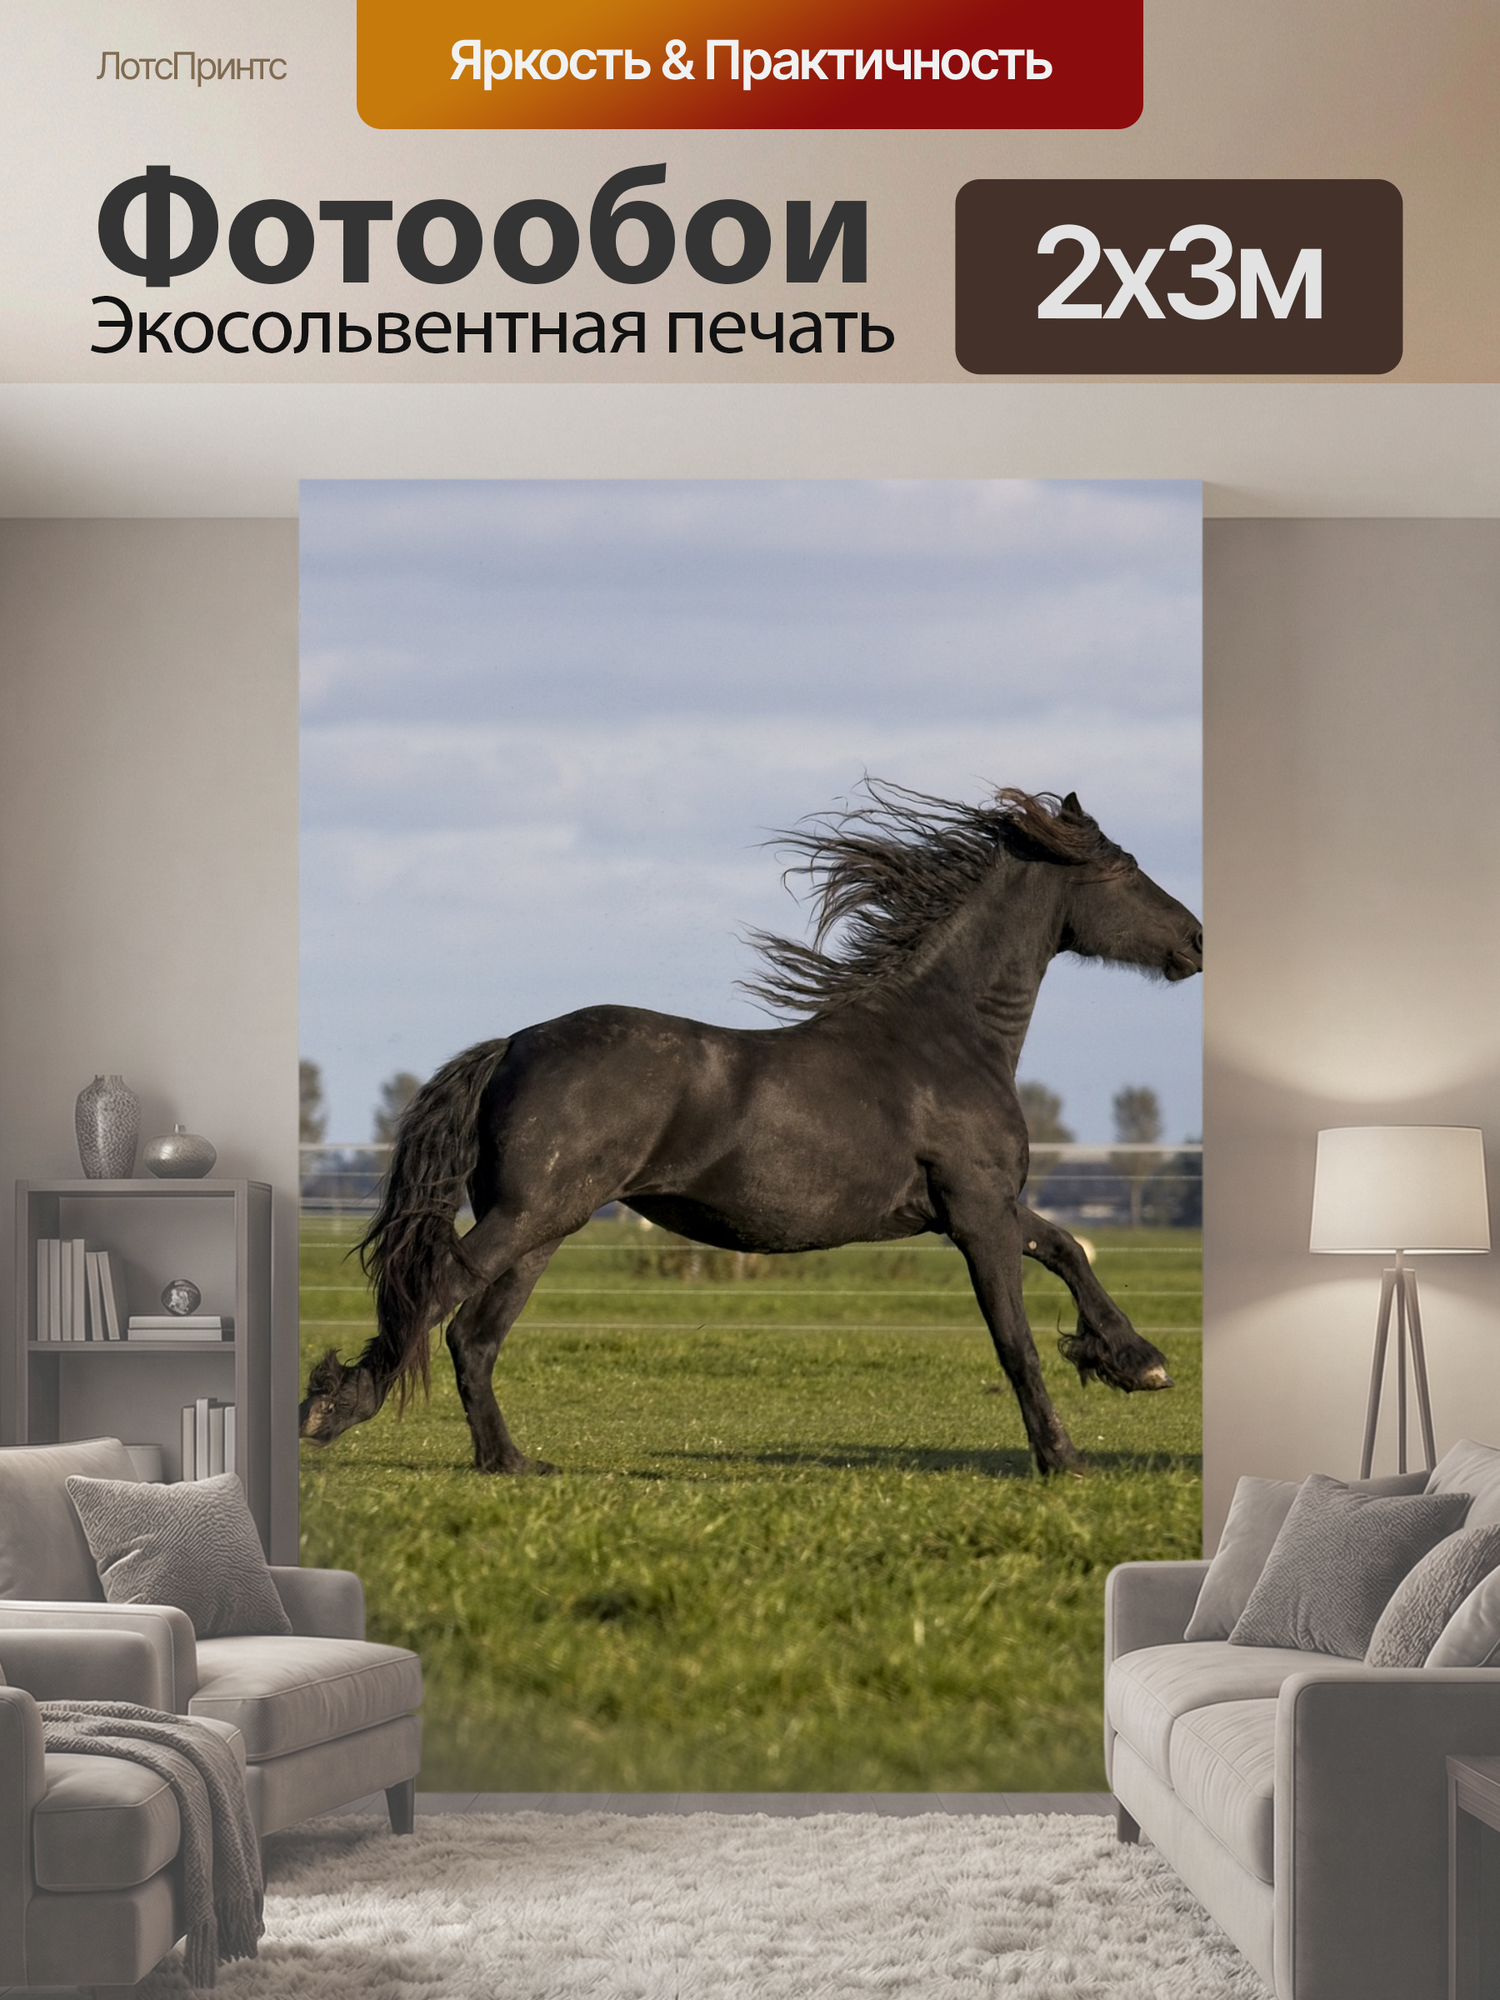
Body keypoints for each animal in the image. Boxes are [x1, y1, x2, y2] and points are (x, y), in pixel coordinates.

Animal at [299, 784, 1202, 1478]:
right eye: (1122, 868)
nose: (1195, 939)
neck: (945, 1038)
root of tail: (513, 1045)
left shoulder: (978, 1208)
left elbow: (1066, 1248)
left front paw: (1135, 1361)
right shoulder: (976, 1213)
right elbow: (1016, 1339)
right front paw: (1064, 1457)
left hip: (542, 1228)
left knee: (472, 1336)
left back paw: (511, 1463)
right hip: (529, 1217)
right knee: (436, 1301)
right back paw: (335, 1409)